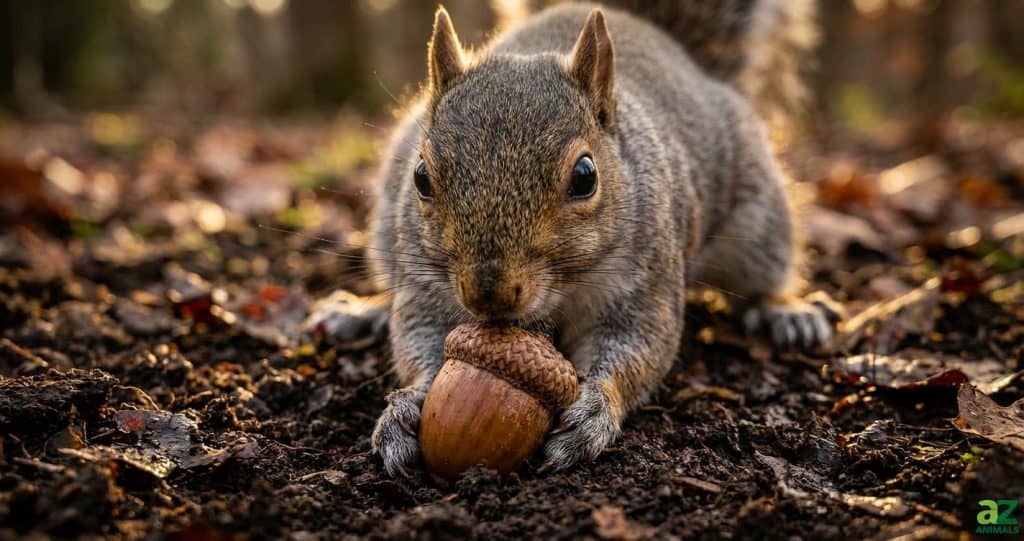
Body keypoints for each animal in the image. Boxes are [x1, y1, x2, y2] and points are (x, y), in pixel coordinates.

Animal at [304, 0, 840, 476]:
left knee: (764, 274)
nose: (488, 294)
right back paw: (363, 310)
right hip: (384, 231)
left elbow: (637, 348)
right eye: (420, 177)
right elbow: (419, 337)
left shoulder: (644, 281)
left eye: (585, 177)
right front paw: (406, 406)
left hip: (759, 222)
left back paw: (786, 312)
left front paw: (593, 412)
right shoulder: (427, 283)